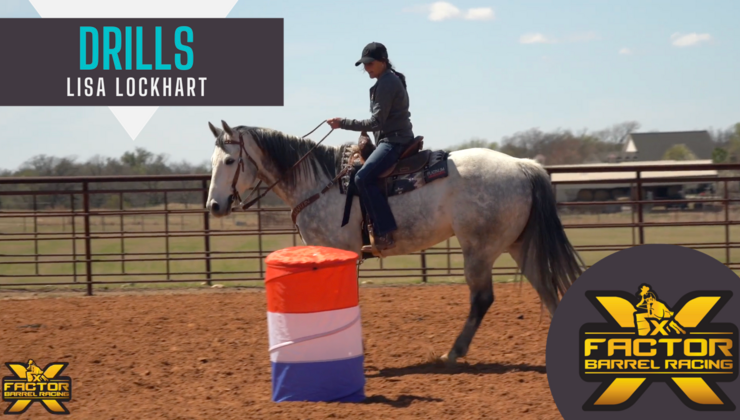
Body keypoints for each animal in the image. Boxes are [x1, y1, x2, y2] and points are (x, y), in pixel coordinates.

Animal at [205, 120, 585, 366]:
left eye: (230, 160)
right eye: (212, 161)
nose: (214, 206)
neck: (318, 182)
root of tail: (522, 165)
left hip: (479, 249)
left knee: (483, 299)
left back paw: (452, 353)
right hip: (518, 244)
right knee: (545, 286)